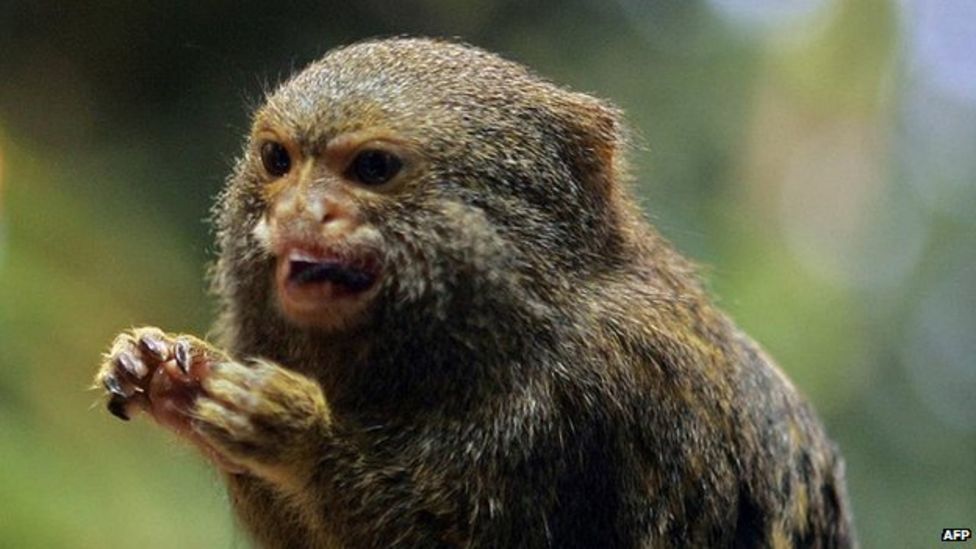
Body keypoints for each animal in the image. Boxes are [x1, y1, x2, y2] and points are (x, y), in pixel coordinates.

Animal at [95, 37, 856, 548]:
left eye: (372, 168)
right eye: (279, 161)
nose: (298, 213)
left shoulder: (627, 382)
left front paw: (295, 430)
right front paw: (168, 373)